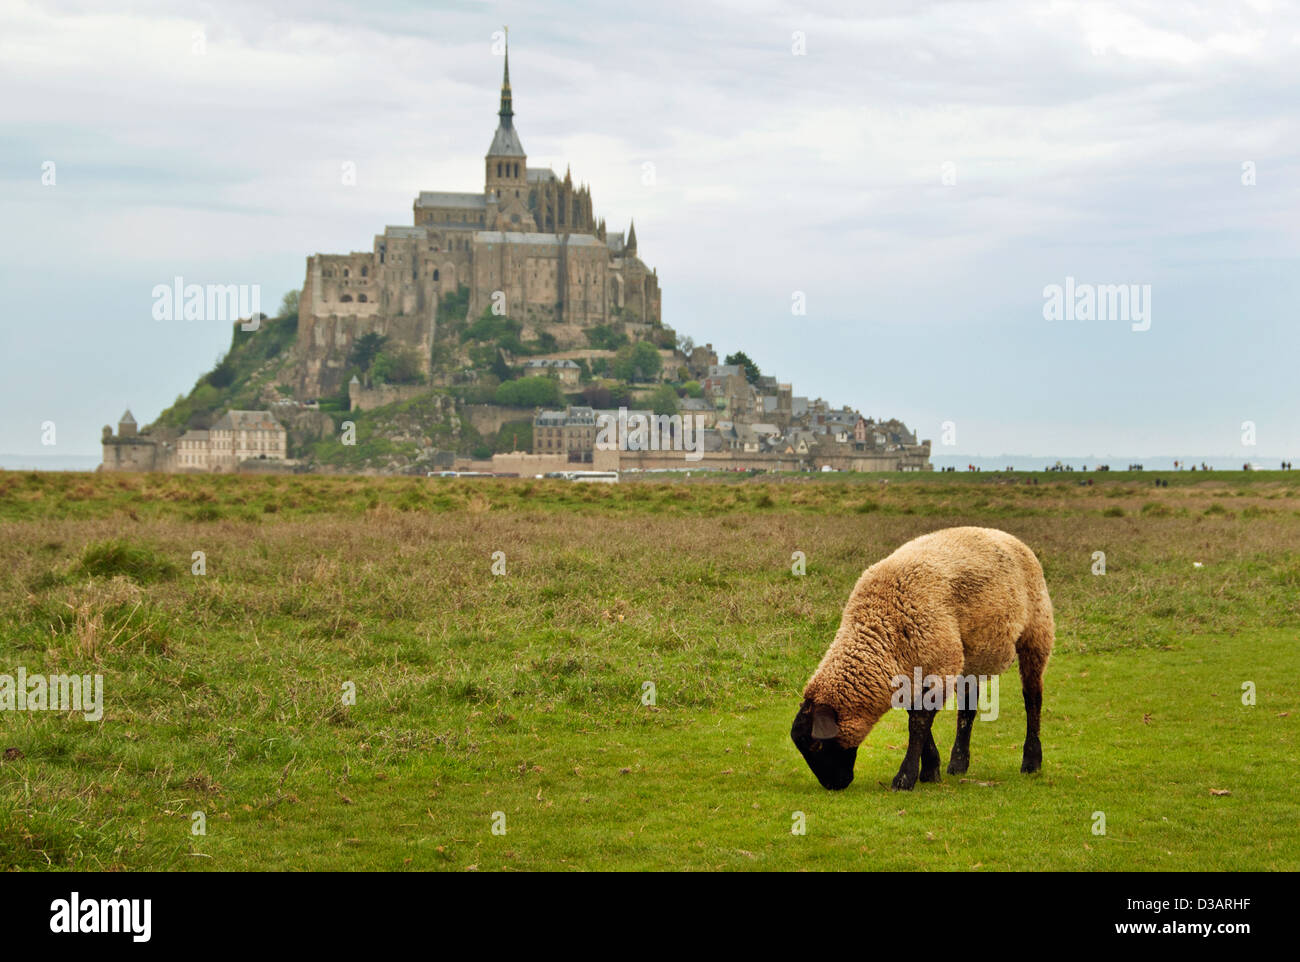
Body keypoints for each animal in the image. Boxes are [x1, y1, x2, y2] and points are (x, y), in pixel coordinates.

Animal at [790, 526, 1054, 791]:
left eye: (816, 744)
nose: (833, 784)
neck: (880, 623)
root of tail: (1006, 535)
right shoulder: (908, 674)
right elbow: (918, 719)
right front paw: (930, 769)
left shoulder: (940, 667)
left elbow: (918, 723)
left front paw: (905, 778)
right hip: (970, 656)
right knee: (968, 706)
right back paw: (958, 764)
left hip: (1036, 631)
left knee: (1032, 697)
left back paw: (1031, 761)